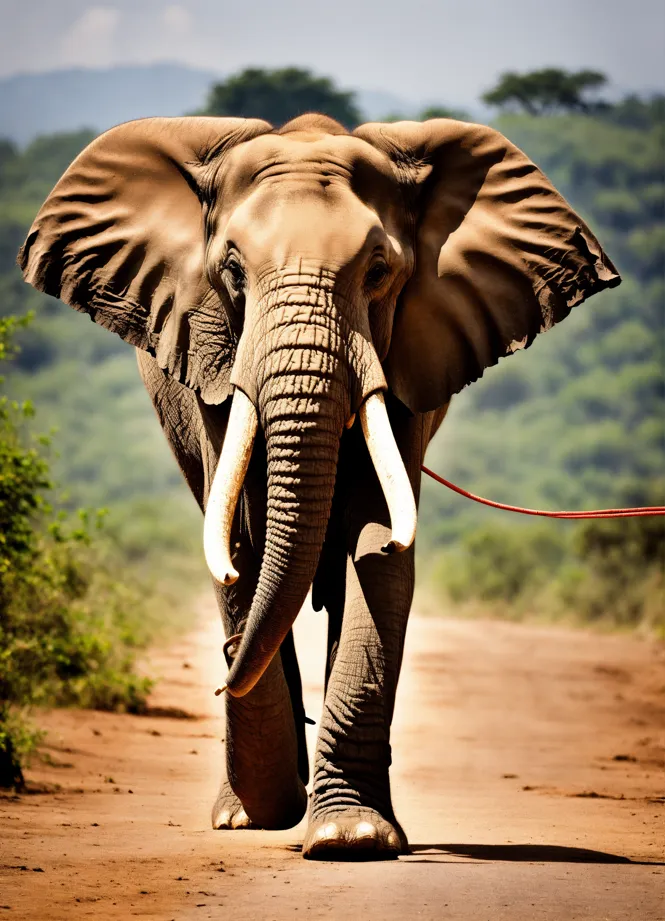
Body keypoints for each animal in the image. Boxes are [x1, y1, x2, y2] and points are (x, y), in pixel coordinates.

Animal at [18, 112, 619, 860]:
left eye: (379, 272)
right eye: (232, 271)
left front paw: (349, 836)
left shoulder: (410, 360)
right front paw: (269, 815)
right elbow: (242, 543)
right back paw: (245, 813)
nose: (221, 674)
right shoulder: (209, 357)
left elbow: (377, 540)